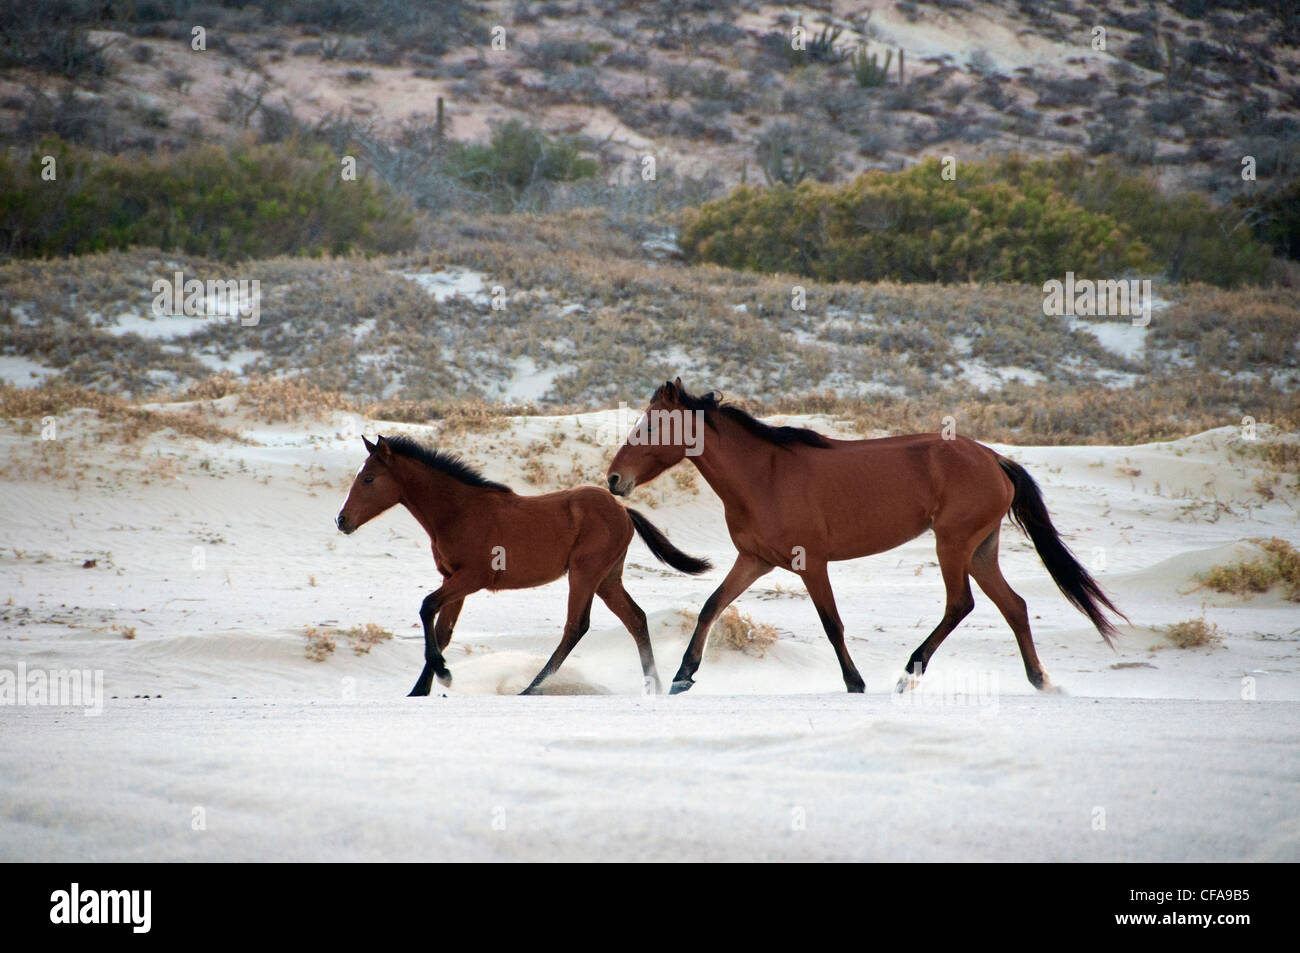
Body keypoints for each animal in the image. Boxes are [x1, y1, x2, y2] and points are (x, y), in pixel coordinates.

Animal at [335, 434, 711, 696]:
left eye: (368, 479)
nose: (342, 520)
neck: (458, 512)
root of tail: (622, 510)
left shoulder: (472, 577)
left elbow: (427, 607)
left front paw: (443, 674)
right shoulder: (453, 580)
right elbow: (442, 631)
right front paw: (420, 689)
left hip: (585, 573)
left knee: (577, 626)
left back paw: (532, 687)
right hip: (607, 579)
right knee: (635, 619)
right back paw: (654, 685)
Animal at [606, 379, 1127, 695]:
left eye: (652, 425)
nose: (614, 479)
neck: (764, 475)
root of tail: (994, 459)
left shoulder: (810, 563)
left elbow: (831, 623)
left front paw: (855, 682)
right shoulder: (755, 560)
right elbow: (712, 606)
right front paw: (682, 677)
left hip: (952, 544)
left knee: (961, 604)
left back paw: (908, 675)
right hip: (981, 549)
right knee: (1013, 606)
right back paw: (1041, 680)